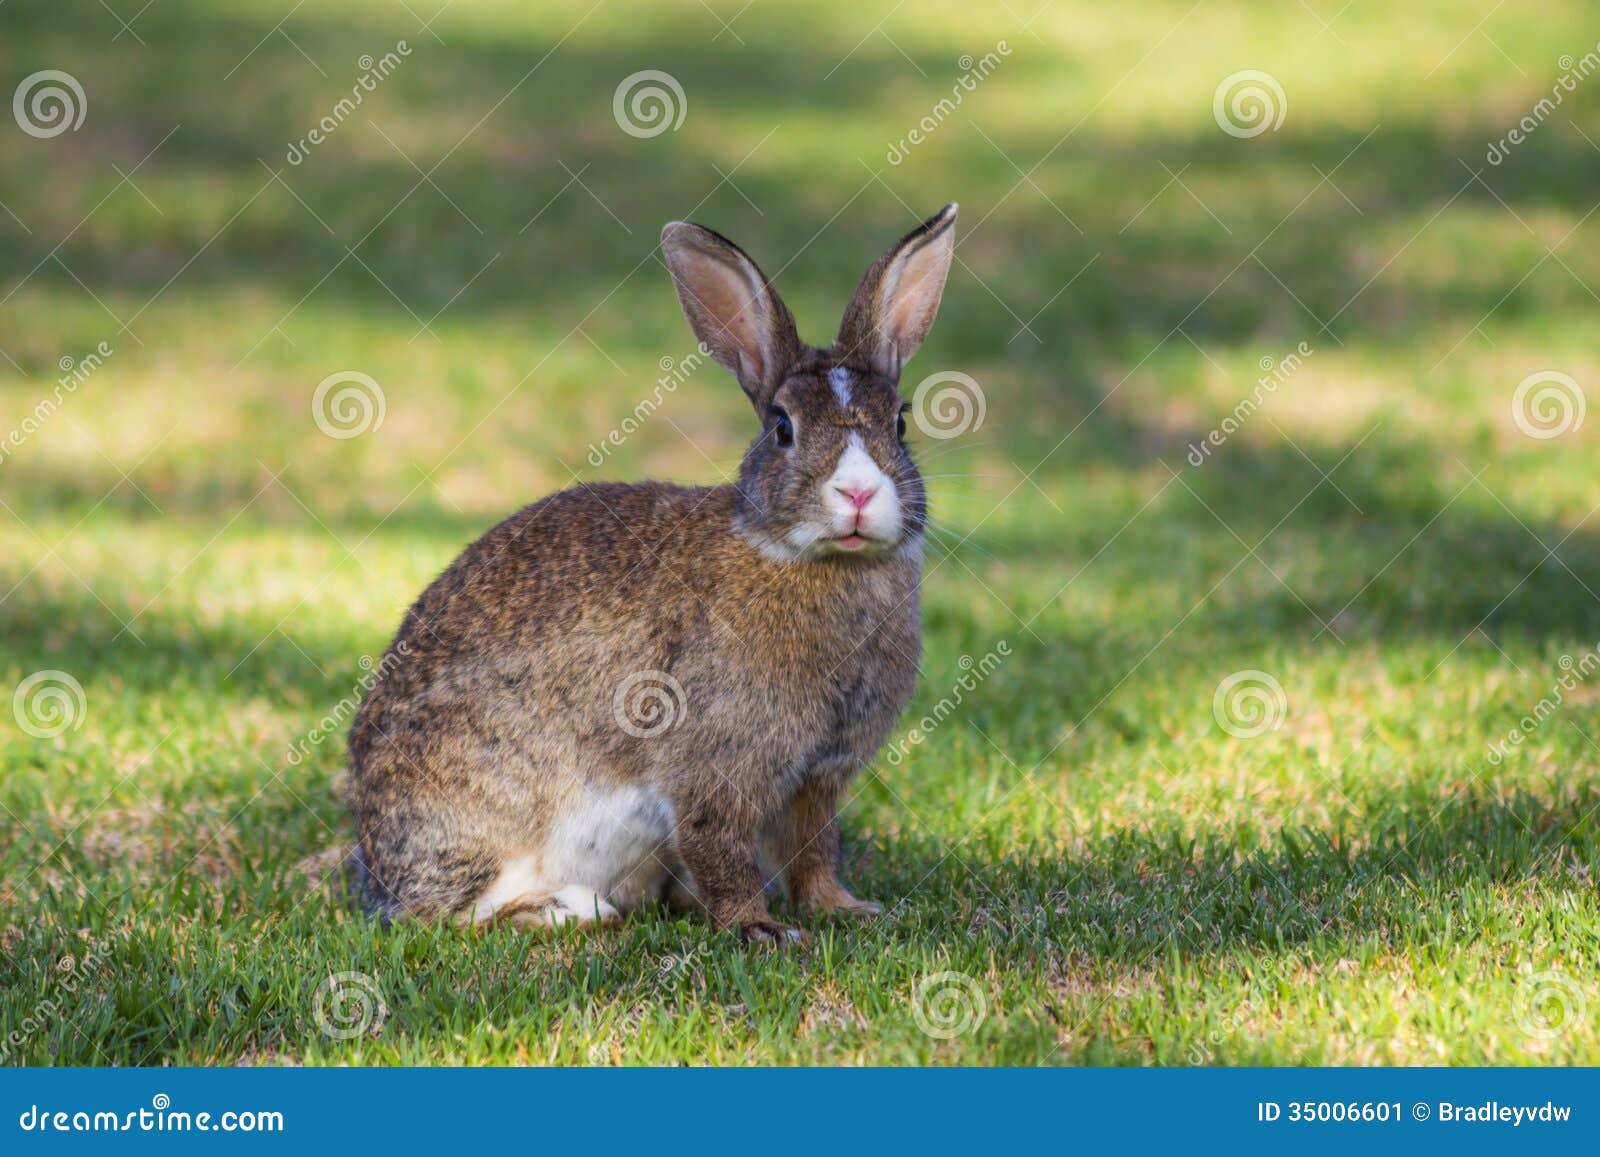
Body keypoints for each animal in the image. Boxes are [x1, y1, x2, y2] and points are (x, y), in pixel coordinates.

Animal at [345, 204, 957, 943]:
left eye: (900, 423)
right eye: (783, 427)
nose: (860, 493)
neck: (807, 558)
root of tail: (378, 872)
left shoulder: (817, 777)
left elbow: (812, 850)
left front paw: (844, 909)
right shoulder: (712, 764)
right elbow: (721, 844)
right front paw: (760, 929)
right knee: (454, 912)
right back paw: (571, 907)